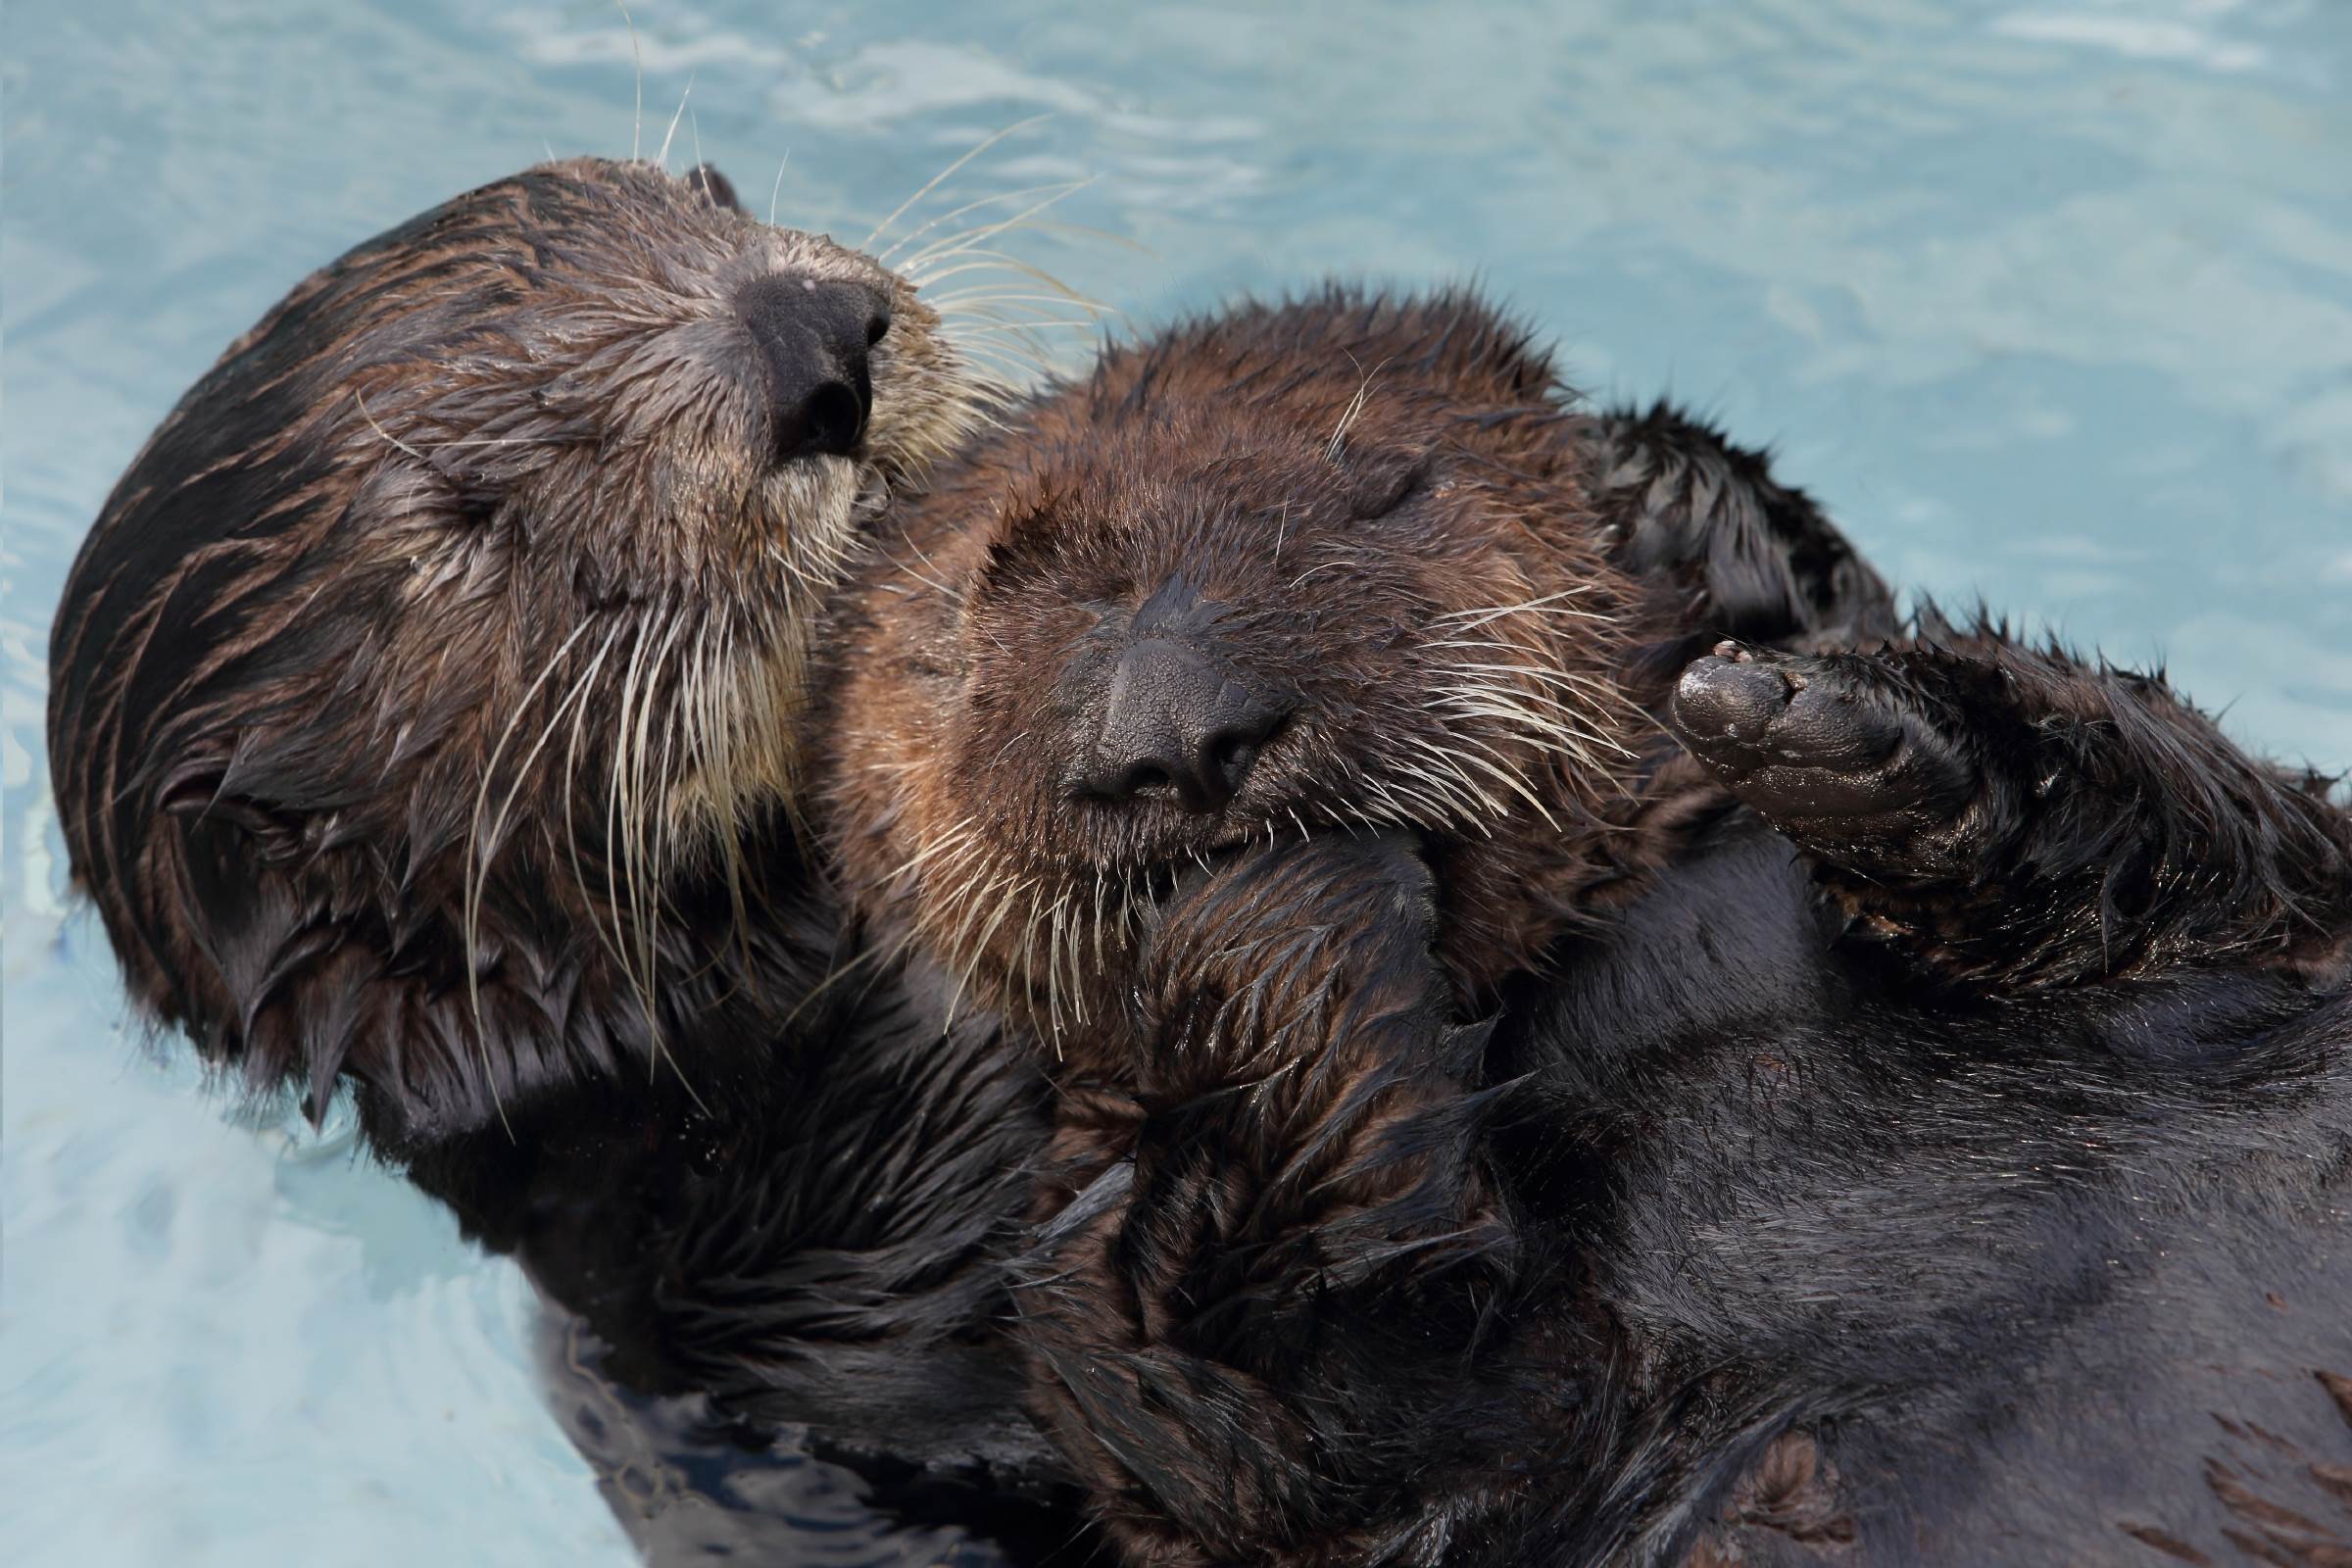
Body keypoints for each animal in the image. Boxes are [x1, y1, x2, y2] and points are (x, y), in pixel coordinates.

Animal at [824, 287, 2352, 1564]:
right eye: (952, 635)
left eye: (1385, 490)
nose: (1174, 732)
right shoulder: (1147, 1327)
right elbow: (1295, 1424)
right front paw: (1283, 923)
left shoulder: (2275, 930)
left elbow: (2220, 840)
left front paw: (1822, 720)